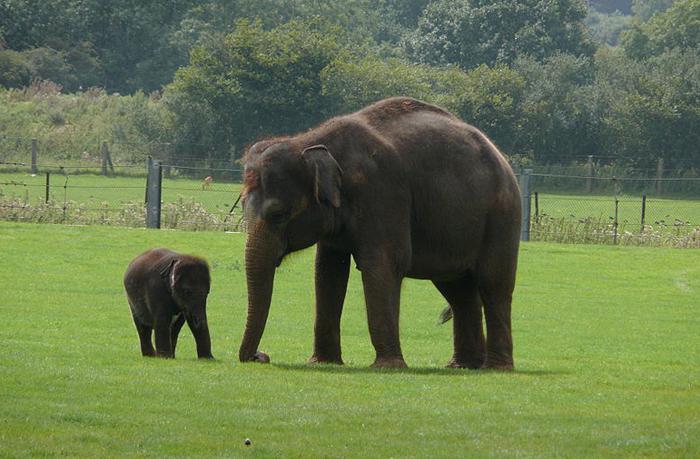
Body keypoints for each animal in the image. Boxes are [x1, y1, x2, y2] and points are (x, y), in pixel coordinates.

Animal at [239, 97, 520, 370]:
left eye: (278, 214)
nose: (261, 356)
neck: (309, 141)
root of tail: (501, 157)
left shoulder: (383, 194)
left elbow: (383, 263)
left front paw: (388, 366)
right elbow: (327, 271)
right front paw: (324, 362)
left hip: (502, 217)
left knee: (493, 283)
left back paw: (495, 367)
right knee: (458, 289)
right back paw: (463, 366)